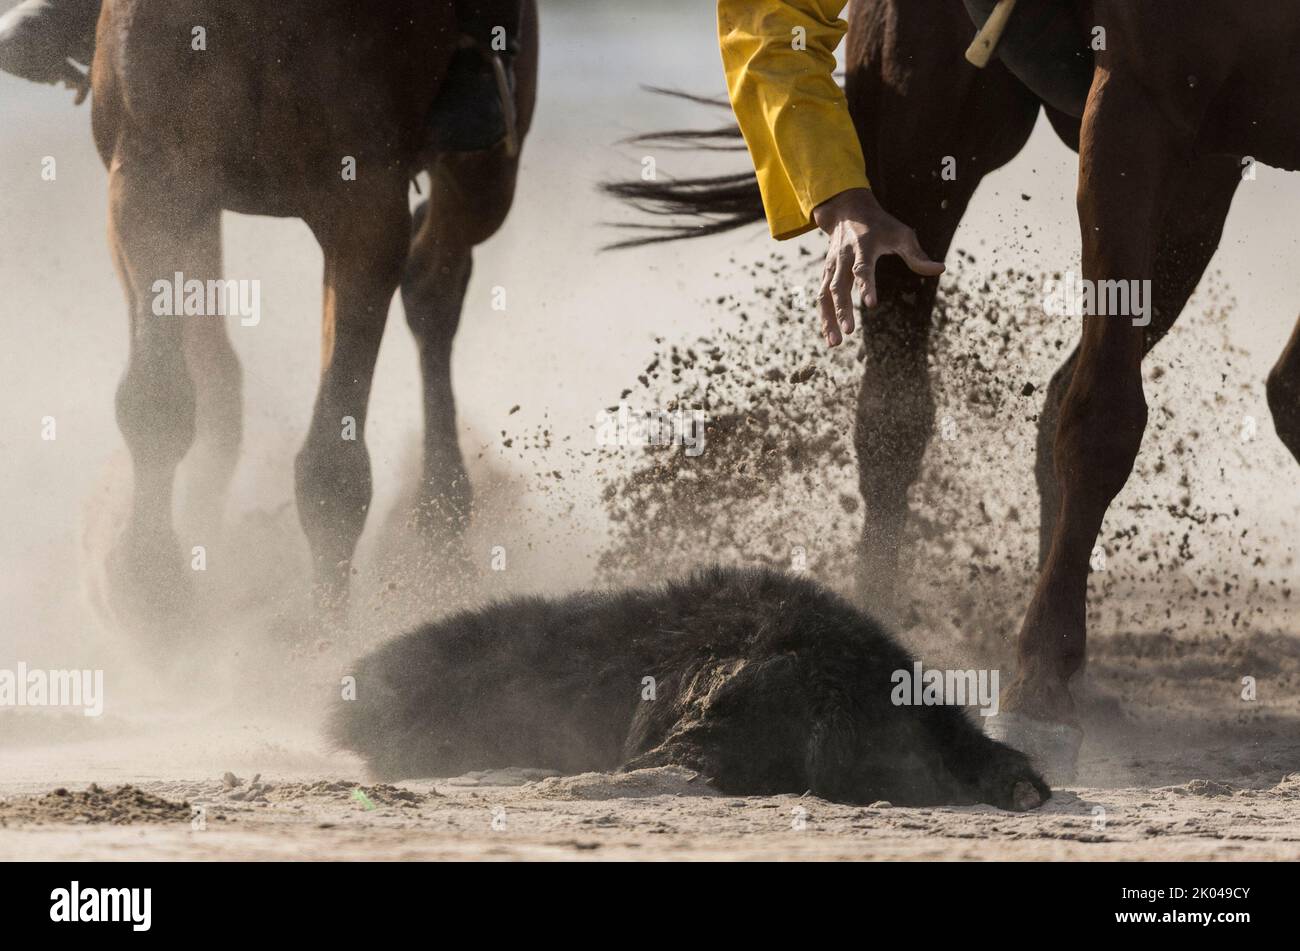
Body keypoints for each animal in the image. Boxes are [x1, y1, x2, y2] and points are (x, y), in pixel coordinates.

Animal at [79, 0, 537, 622]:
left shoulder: (366, 206)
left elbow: (332, 470)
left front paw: (325, 635)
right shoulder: (153, 177)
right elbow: (155, 402)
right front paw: (152, 589)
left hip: (486, 168)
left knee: (435, 286)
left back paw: (440, 529)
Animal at [606, 0, 1300, 774]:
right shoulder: (1137, 99)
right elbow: (1104, 420)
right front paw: (1038, 694)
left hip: (1198, 184)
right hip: (926, 129)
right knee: (897, 412)